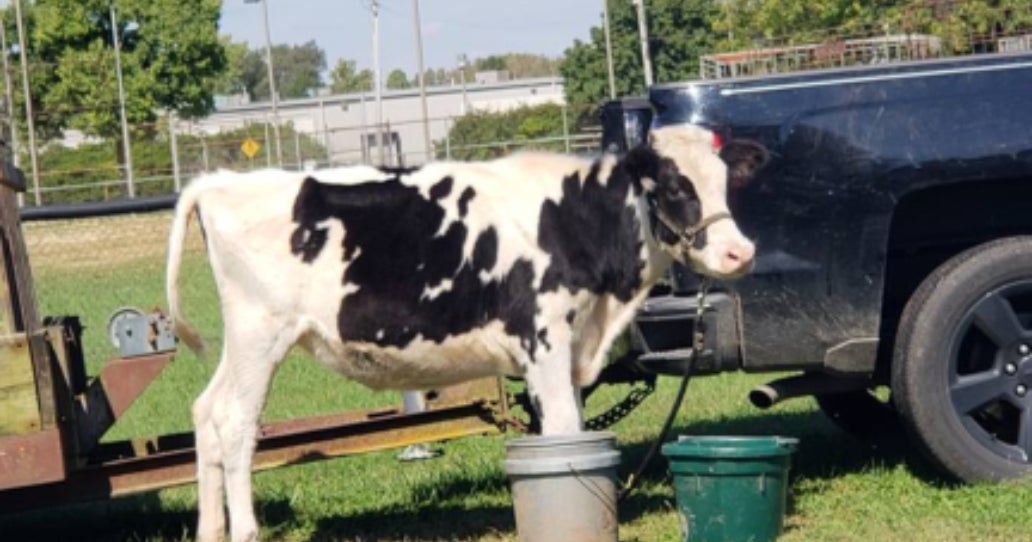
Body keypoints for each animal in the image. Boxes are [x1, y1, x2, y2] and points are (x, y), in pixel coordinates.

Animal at [165, 123, 766, 542]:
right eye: (674, 186)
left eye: (724, 183)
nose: (739, 252)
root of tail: (220, 183)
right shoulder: (543, 342)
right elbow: (563, 431)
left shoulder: (572, 347)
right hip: (261, 333)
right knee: (236, 422)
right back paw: (244, 531)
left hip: (243, 340)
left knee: (205, 411)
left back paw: (211, 529)